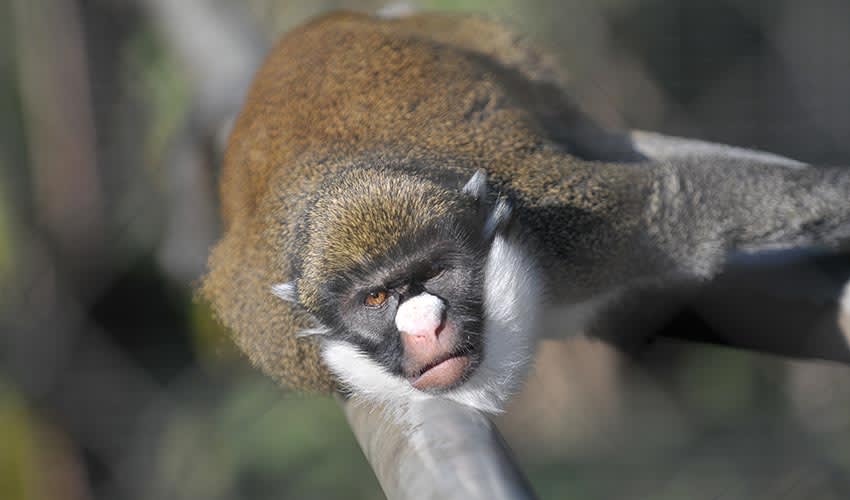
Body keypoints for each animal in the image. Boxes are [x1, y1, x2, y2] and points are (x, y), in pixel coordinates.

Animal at [200, 11, 850, 417]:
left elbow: (677, 195)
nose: (423, 326)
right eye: (376, 299)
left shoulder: (582, 232)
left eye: (435, 274)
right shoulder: (278, 340)